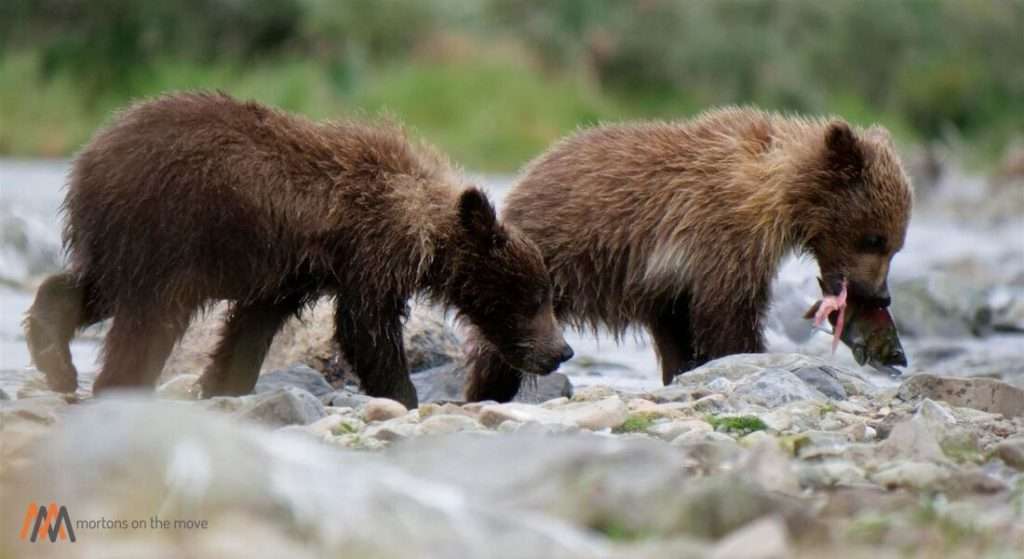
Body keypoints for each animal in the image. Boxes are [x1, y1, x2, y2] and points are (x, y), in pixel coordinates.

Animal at [23, 91, 573, 409]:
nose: (561, 351)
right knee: (149, 315)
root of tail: (88, 157)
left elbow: (252, 325)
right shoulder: (369, 253)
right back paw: (119, 383)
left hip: (128, 238)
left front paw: (225, 381)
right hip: (169, 229)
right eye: (535, 298)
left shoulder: (292, 272)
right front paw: (403, 393)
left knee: (97, 287)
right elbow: (365, 325)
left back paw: (55, 354)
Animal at [466, 107, 912, 402]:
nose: (879, 296)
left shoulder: (681, 277)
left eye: (897, 243)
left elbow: (692, 326)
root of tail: (525, 178)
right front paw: (749, 357)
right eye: (874, 239)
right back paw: (489, 387)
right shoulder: (722, 233)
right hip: (550, 264)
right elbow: (728, 316)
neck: (778, 195)